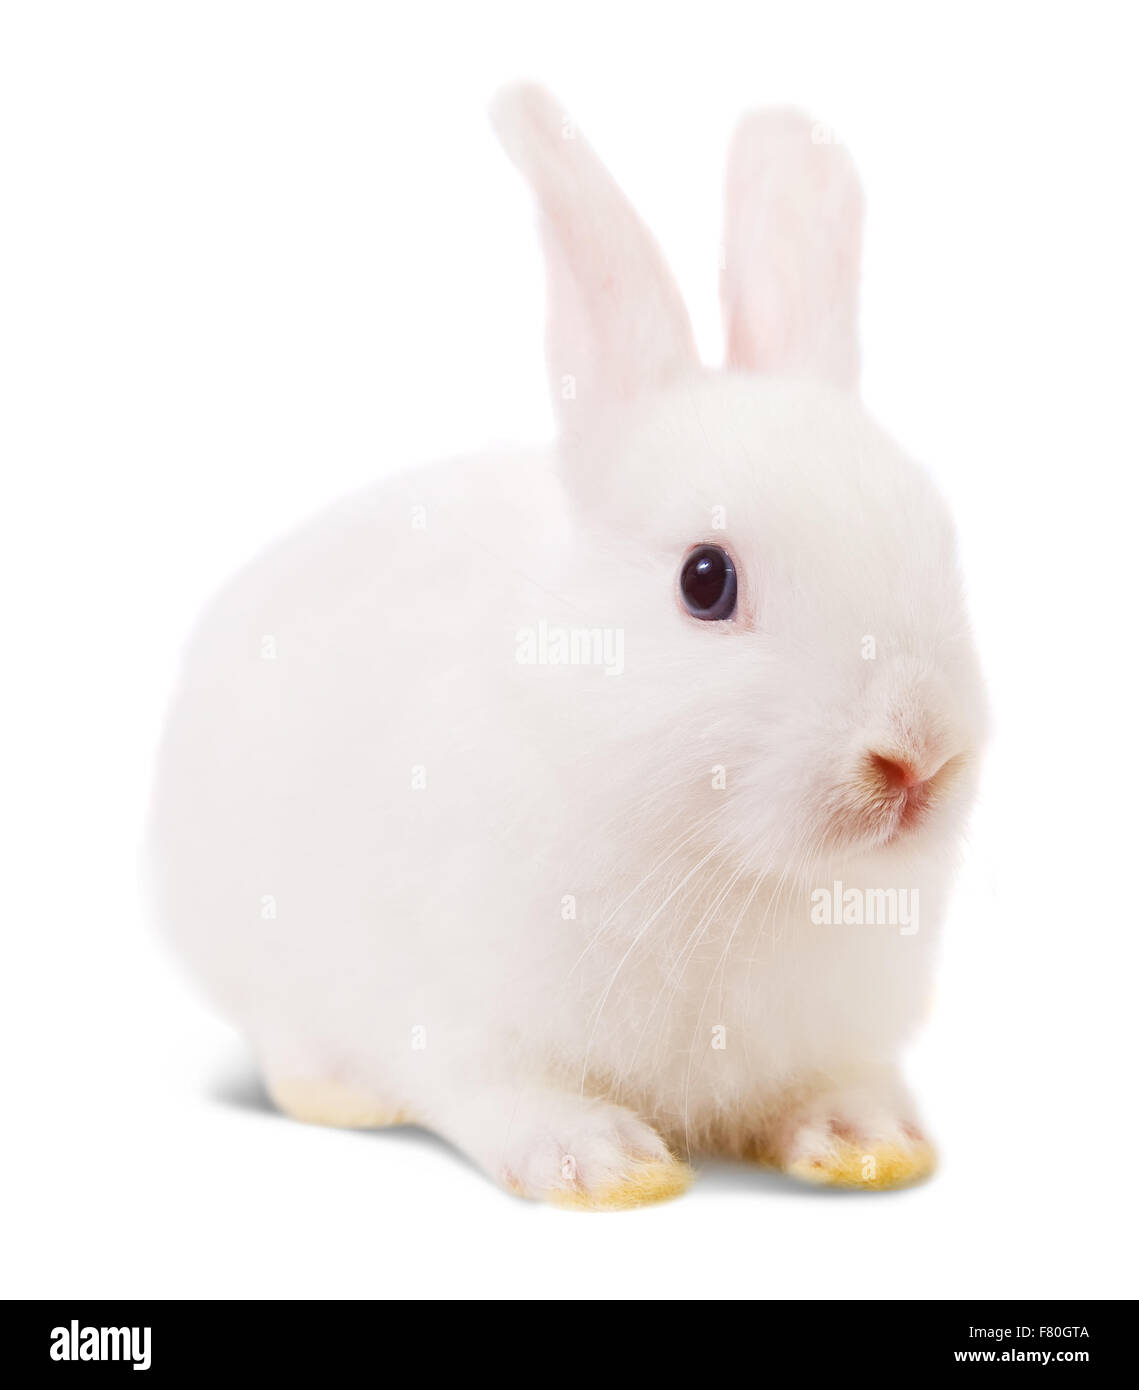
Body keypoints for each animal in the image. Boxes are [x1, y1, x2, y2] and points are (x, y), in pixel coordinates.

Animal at [148, 84, 988, 1209]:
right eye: (704, 580)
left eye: (937, 541)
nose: (917, 755)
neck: (724, 870)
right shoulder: (467, 1022)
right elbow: (507, 1096)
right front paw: (609, 1167)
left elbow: (837, 1089)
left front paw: (867, 1143)